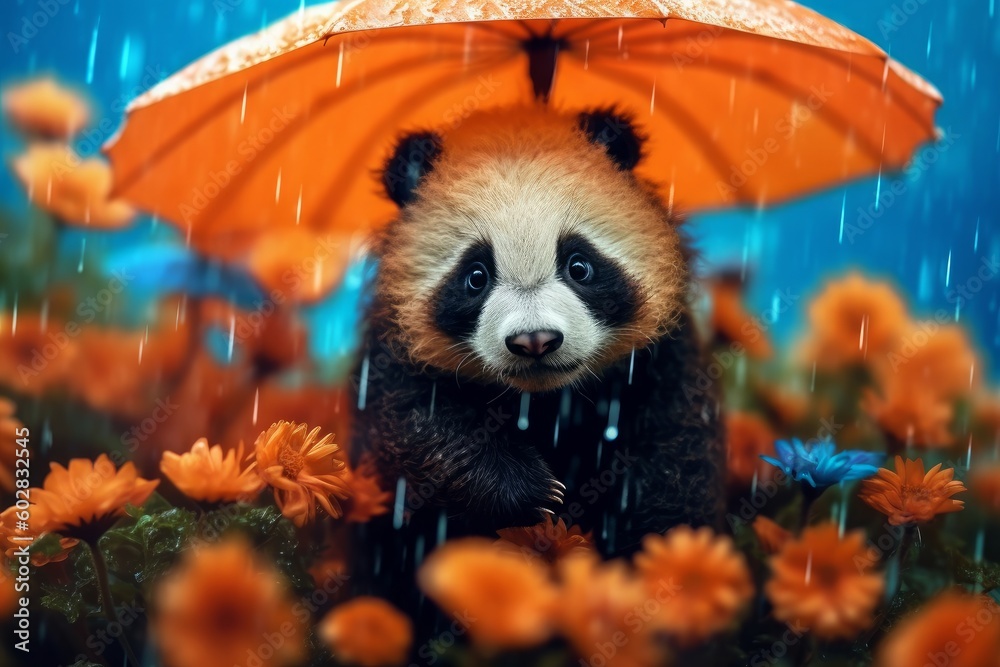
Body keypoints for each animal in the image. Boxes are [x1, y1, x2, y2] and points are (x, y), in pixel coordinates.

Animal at [352, 104, 723, 578]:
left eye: (579, 265)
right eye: (475, 276)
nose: (535, 341)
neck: (546, 400)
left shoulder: (665, 357)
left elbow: (675, 458)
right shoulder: (391, 355)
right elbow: (414, 426)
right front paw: (534, 492)